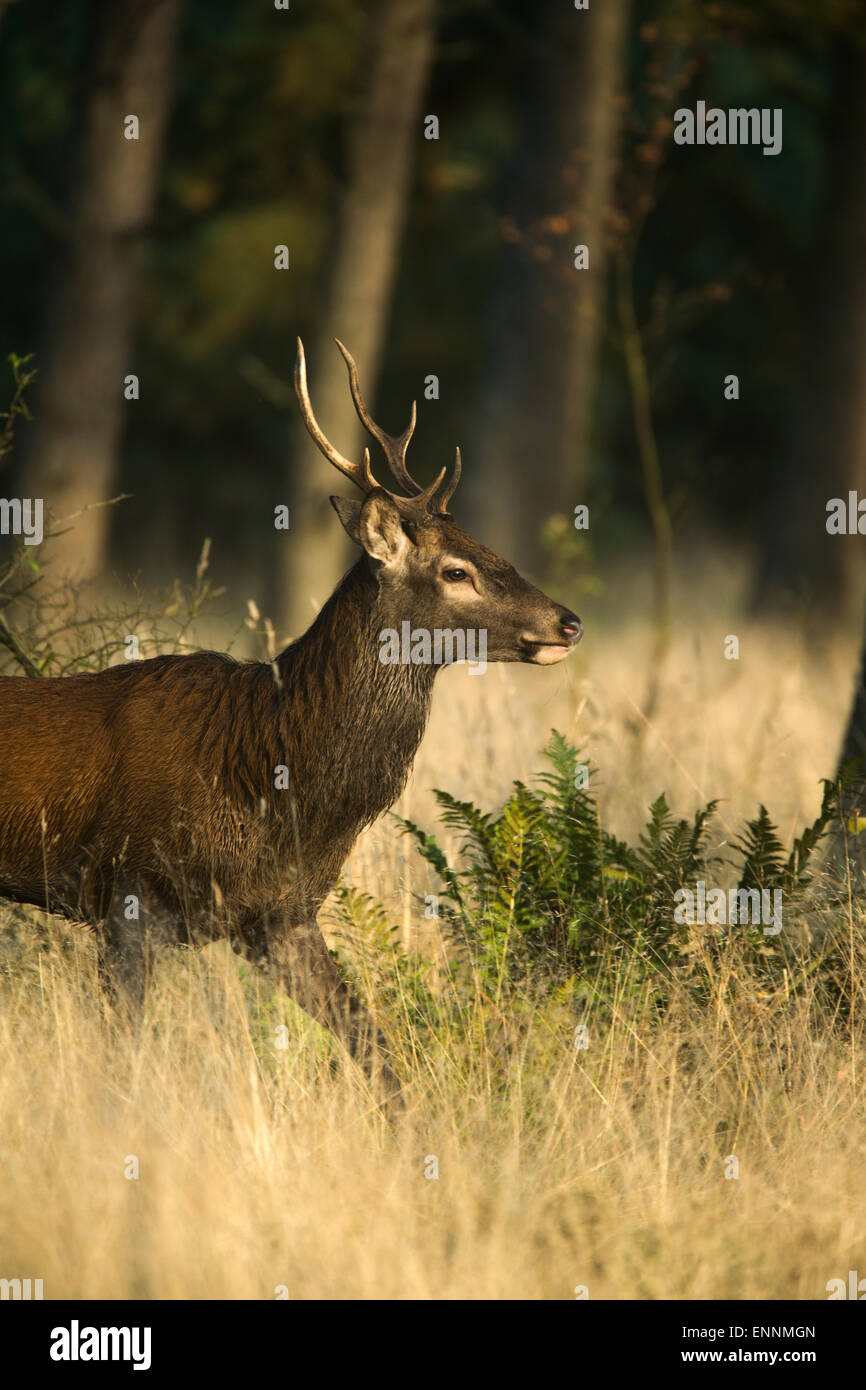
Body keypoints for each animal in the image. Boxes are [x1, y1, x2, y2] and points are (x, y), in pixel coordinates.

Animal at [0, 339, 582, 1107]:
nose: (568, 621)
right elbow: (122, 1060)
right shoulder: (128, 895)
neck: (267, 776)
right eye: (457, 570)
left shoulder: (282, 914)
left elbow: (374, 1044)